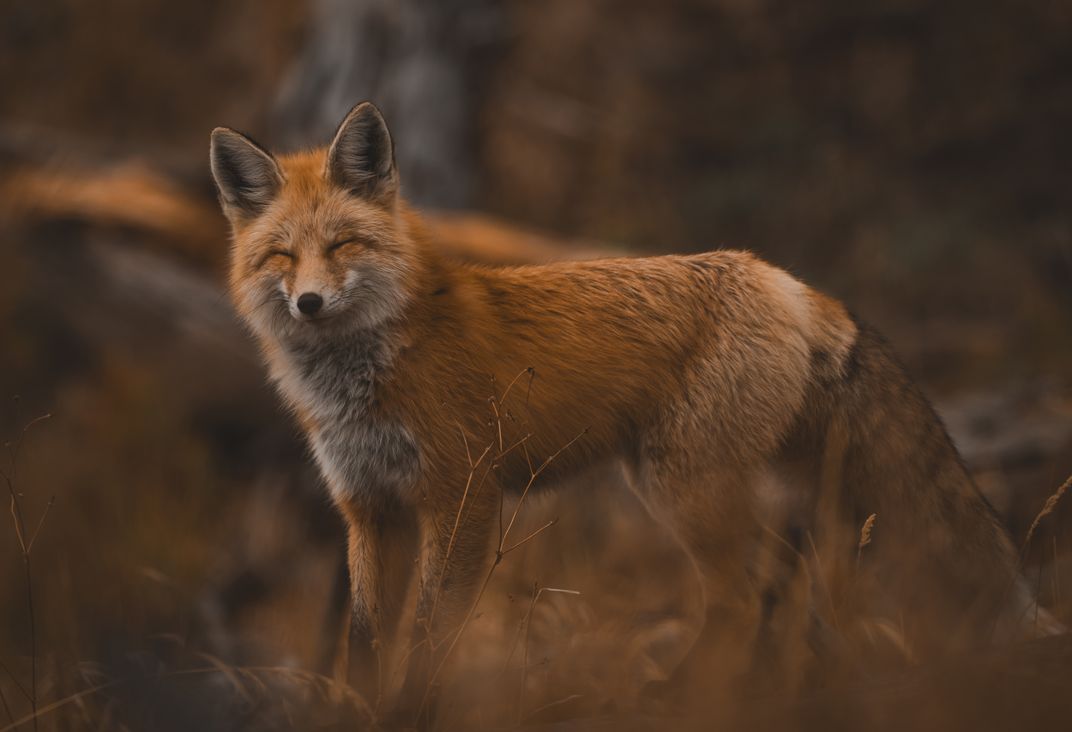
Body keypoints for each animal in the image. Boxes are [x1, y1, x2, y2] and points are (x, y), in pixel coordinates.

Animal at [210, 102, 1054, 723]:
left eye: (343, 245)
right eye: (281, 257)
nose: (309, 302)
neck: (364, 376)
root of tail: (787, 280)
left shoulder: (464, 496)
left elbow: (428, 631)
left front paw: (411, 712)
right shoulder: (369, 507)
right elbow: (364, 636)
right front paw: (355, 710)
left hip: (682, 488)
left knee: (743, 599)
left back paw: (683, 700)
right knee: (774, 595)